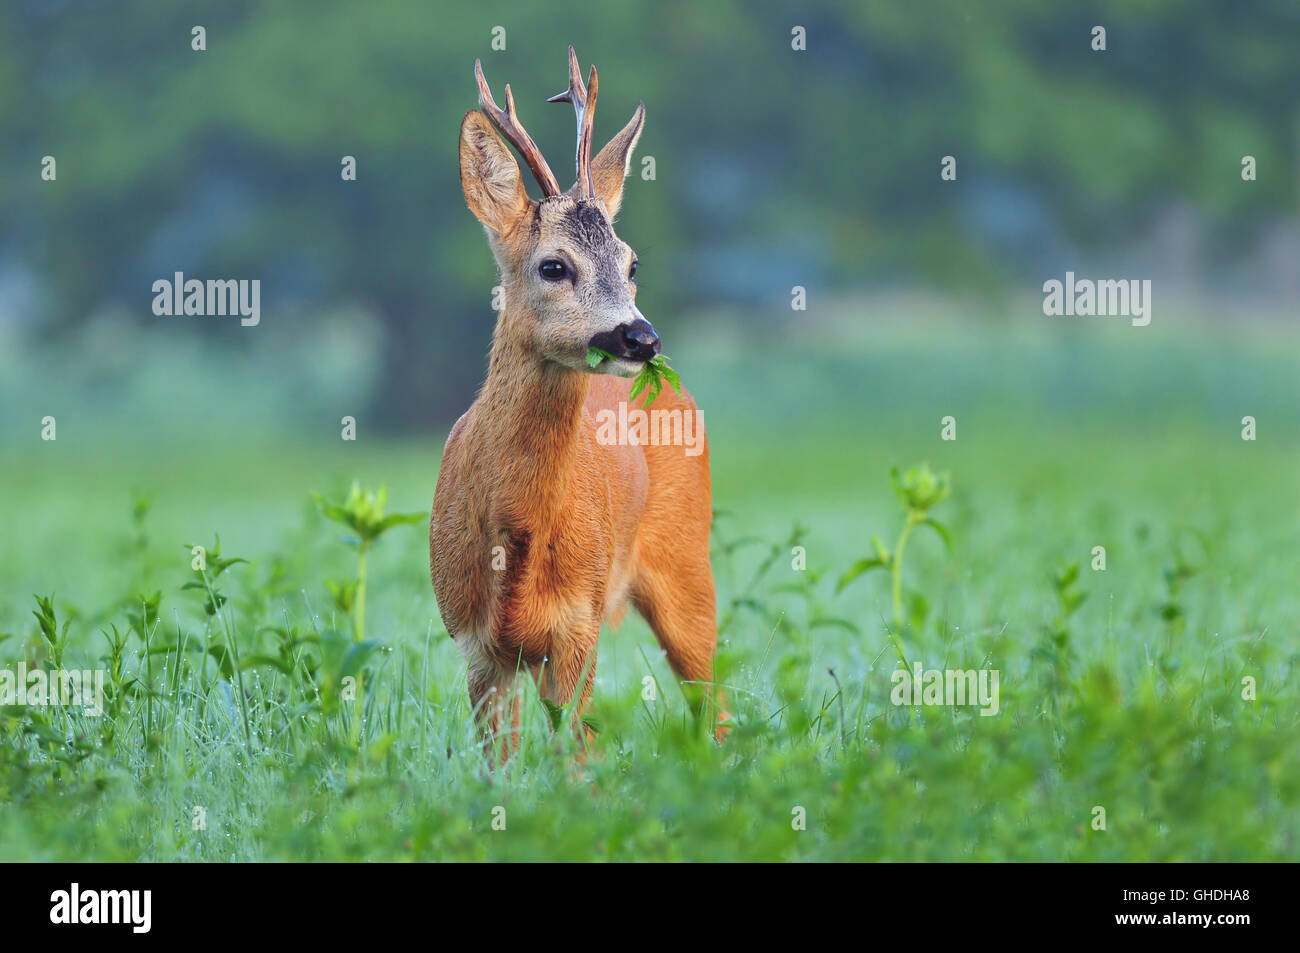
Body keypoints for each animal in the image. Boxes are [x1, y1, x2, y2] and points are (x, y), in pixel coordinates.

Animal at [430, 47, 723, 761]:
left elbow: (580, 762)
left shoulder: (578, 630)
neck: (518, 538)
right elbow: (497, 767)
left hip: (687, 561)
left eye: (632, 262)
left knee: (718, 699)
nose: (641, 338)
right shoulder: (477, 646)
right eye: (554, 266)